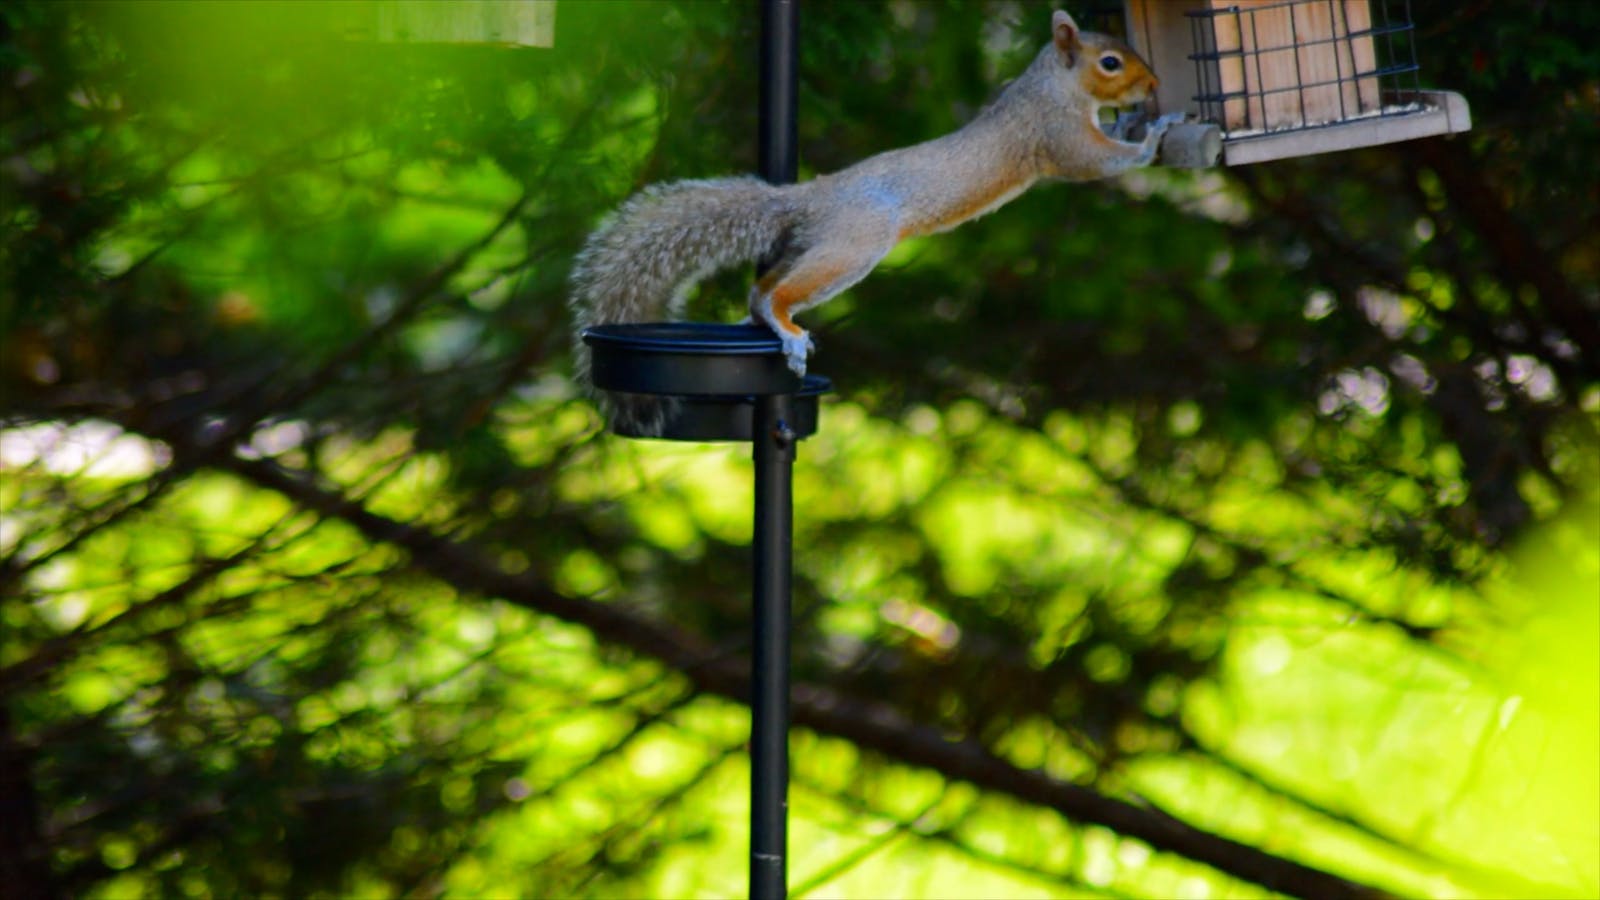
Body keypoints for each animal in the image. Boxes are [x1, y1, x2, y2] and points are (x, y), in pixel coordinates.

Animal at [571, 9, 1181, 436]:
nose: (1153, 87)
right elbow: (1096, 161)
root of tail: (812, 198)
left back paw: (764, 323)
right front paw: (1152, 135)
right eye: (1110, 62)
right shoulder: (1056, 134)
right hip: (856, 243)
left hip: (819, 245)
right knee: (774, 293)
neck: (1052, 83)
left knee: (761, 290)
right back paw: (787, 330)